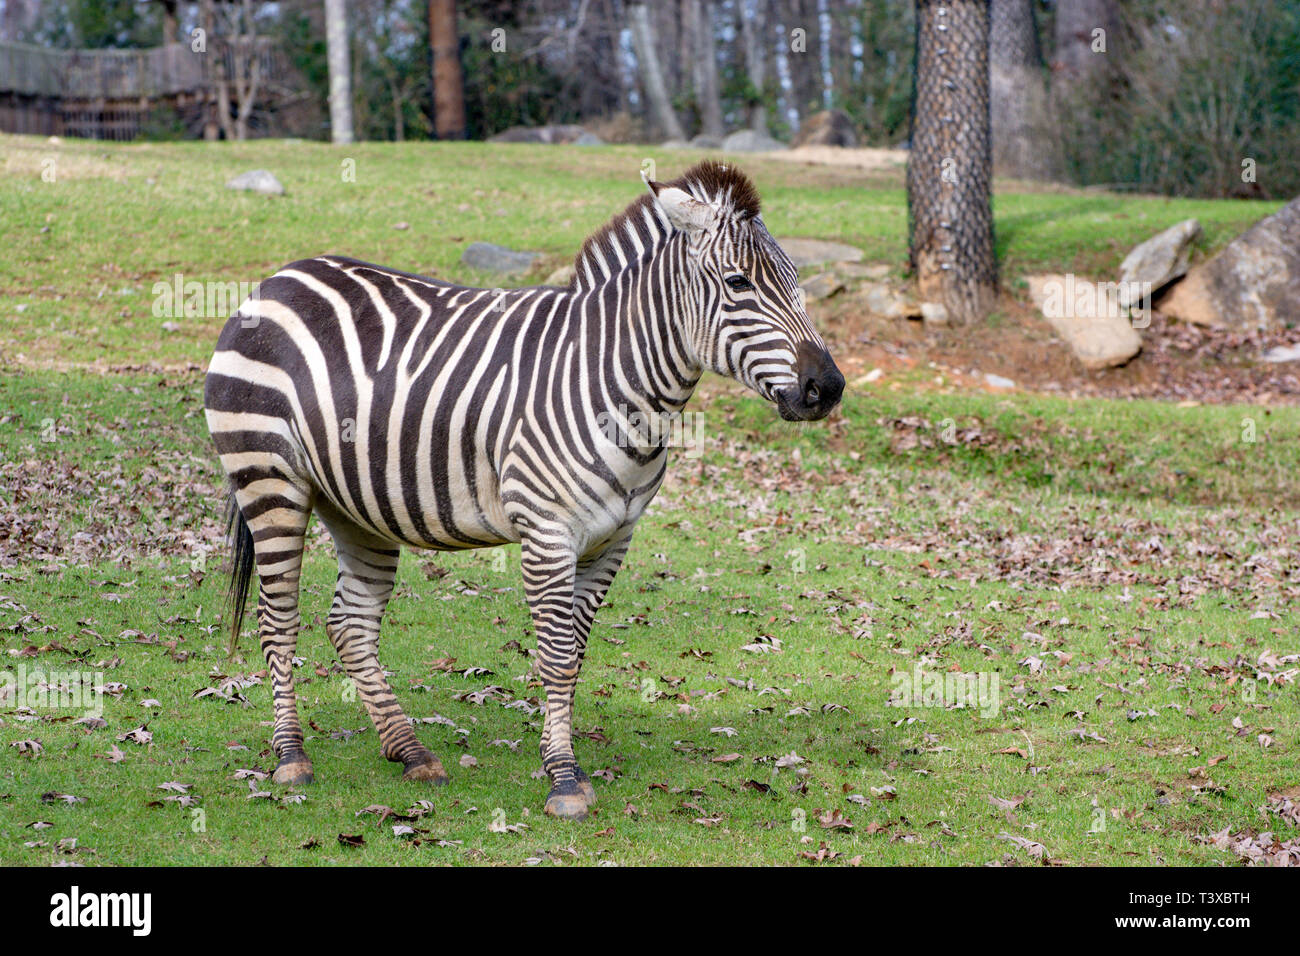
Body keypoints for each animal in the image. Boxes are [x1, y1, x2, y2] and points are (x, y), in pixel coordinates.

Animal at [204, 159, 845, 820]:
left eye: (796, 281)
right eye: (738, 283)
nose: (828, 388)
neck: (619, 384)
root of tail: (278, 278)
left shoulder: (613, 540)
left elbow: (576, 653)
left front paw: (563, 761)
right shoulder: (547, 532)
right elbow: (557, 657)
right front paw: (563, 780)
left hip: (356, 504)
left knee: (350, 623)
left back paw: (410, 752)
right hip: (270, 480)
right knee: (277, 619)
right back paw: (291, 758)